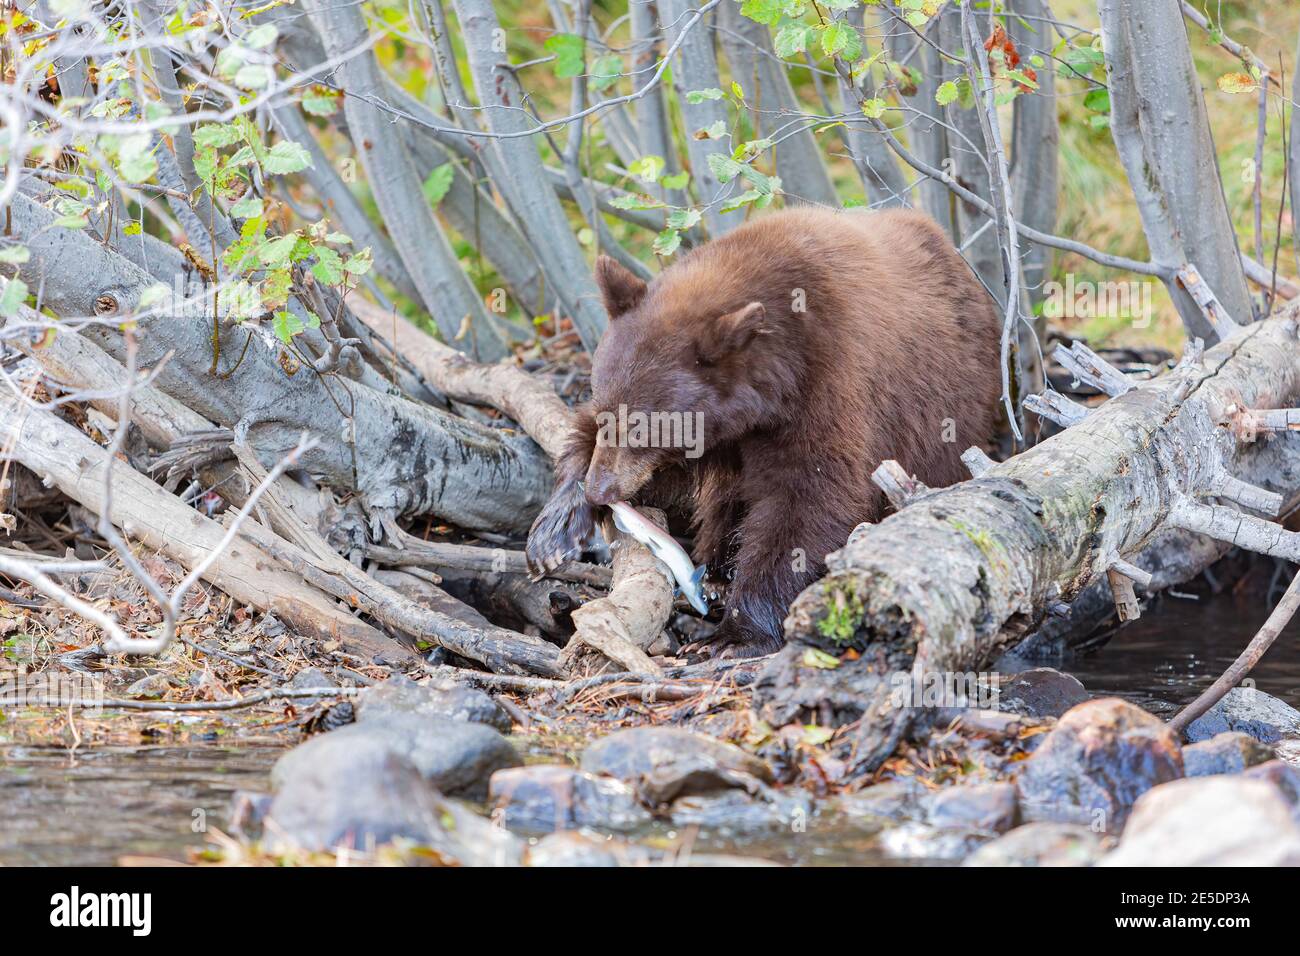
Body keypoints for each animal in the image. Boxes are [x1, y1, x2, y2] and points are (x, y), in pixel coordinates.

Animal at [526, 206, 1002, 657]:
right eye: (610, 413)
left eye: (644, 428)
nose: (599, 490)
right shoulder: (720, 429)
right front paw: (555, 531)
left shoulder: (831, 379)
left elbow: (809, 497)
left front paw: (734, 636)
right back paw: (716, 570)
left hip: (951, 408)